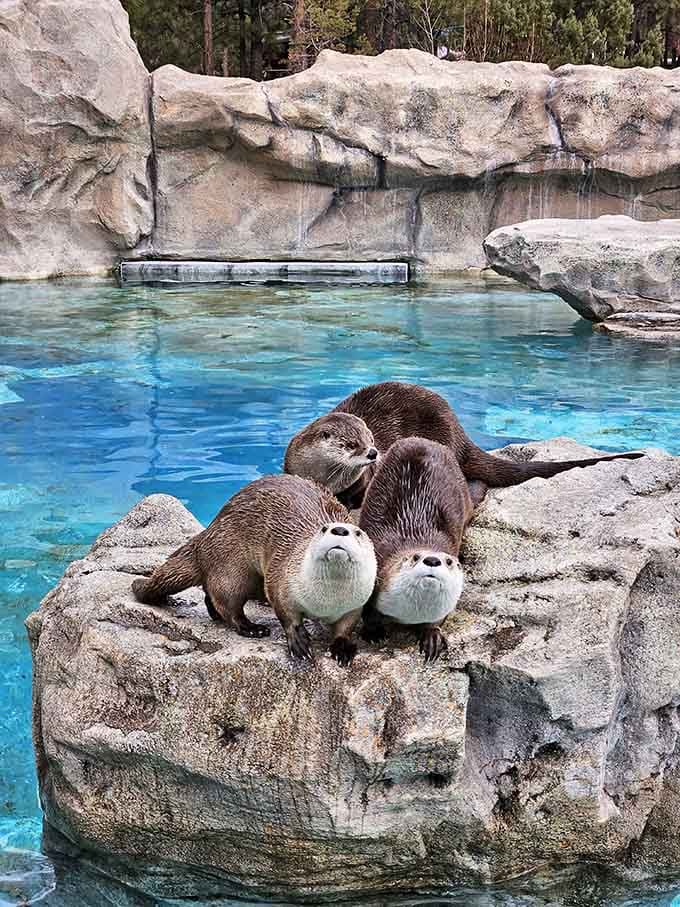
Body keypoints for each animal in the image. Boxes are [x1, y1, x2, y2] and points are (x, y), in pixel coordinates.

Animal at [131, 475, 377, 666]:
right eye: (324, 529)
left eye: (358, 533)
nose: (339, 529)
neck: (325, 601)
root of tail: (208, 533)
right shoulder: (281, 582)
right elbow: (286, 615)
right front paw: (299, 641)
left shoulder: (356, 604)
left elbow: (345, 627)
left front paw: (343, 649)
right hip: (232, 567)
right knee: (228, 603)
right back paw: (251, 628)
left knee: (211, 594)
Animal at [284, 381, 643, 508]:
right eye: (350, 444)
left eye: (370, 439)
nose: (373, 453)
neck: (325, 477)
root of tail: (458, 431)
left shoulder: (361, 479)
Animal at [359, 437, 479, 662]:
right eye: (415, 557)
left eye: (449, 562)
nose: (432, 560)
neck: (410, 614)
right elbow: (367, 611)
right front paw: (373, 632)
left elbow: (436, 622)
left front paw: (432, 637)